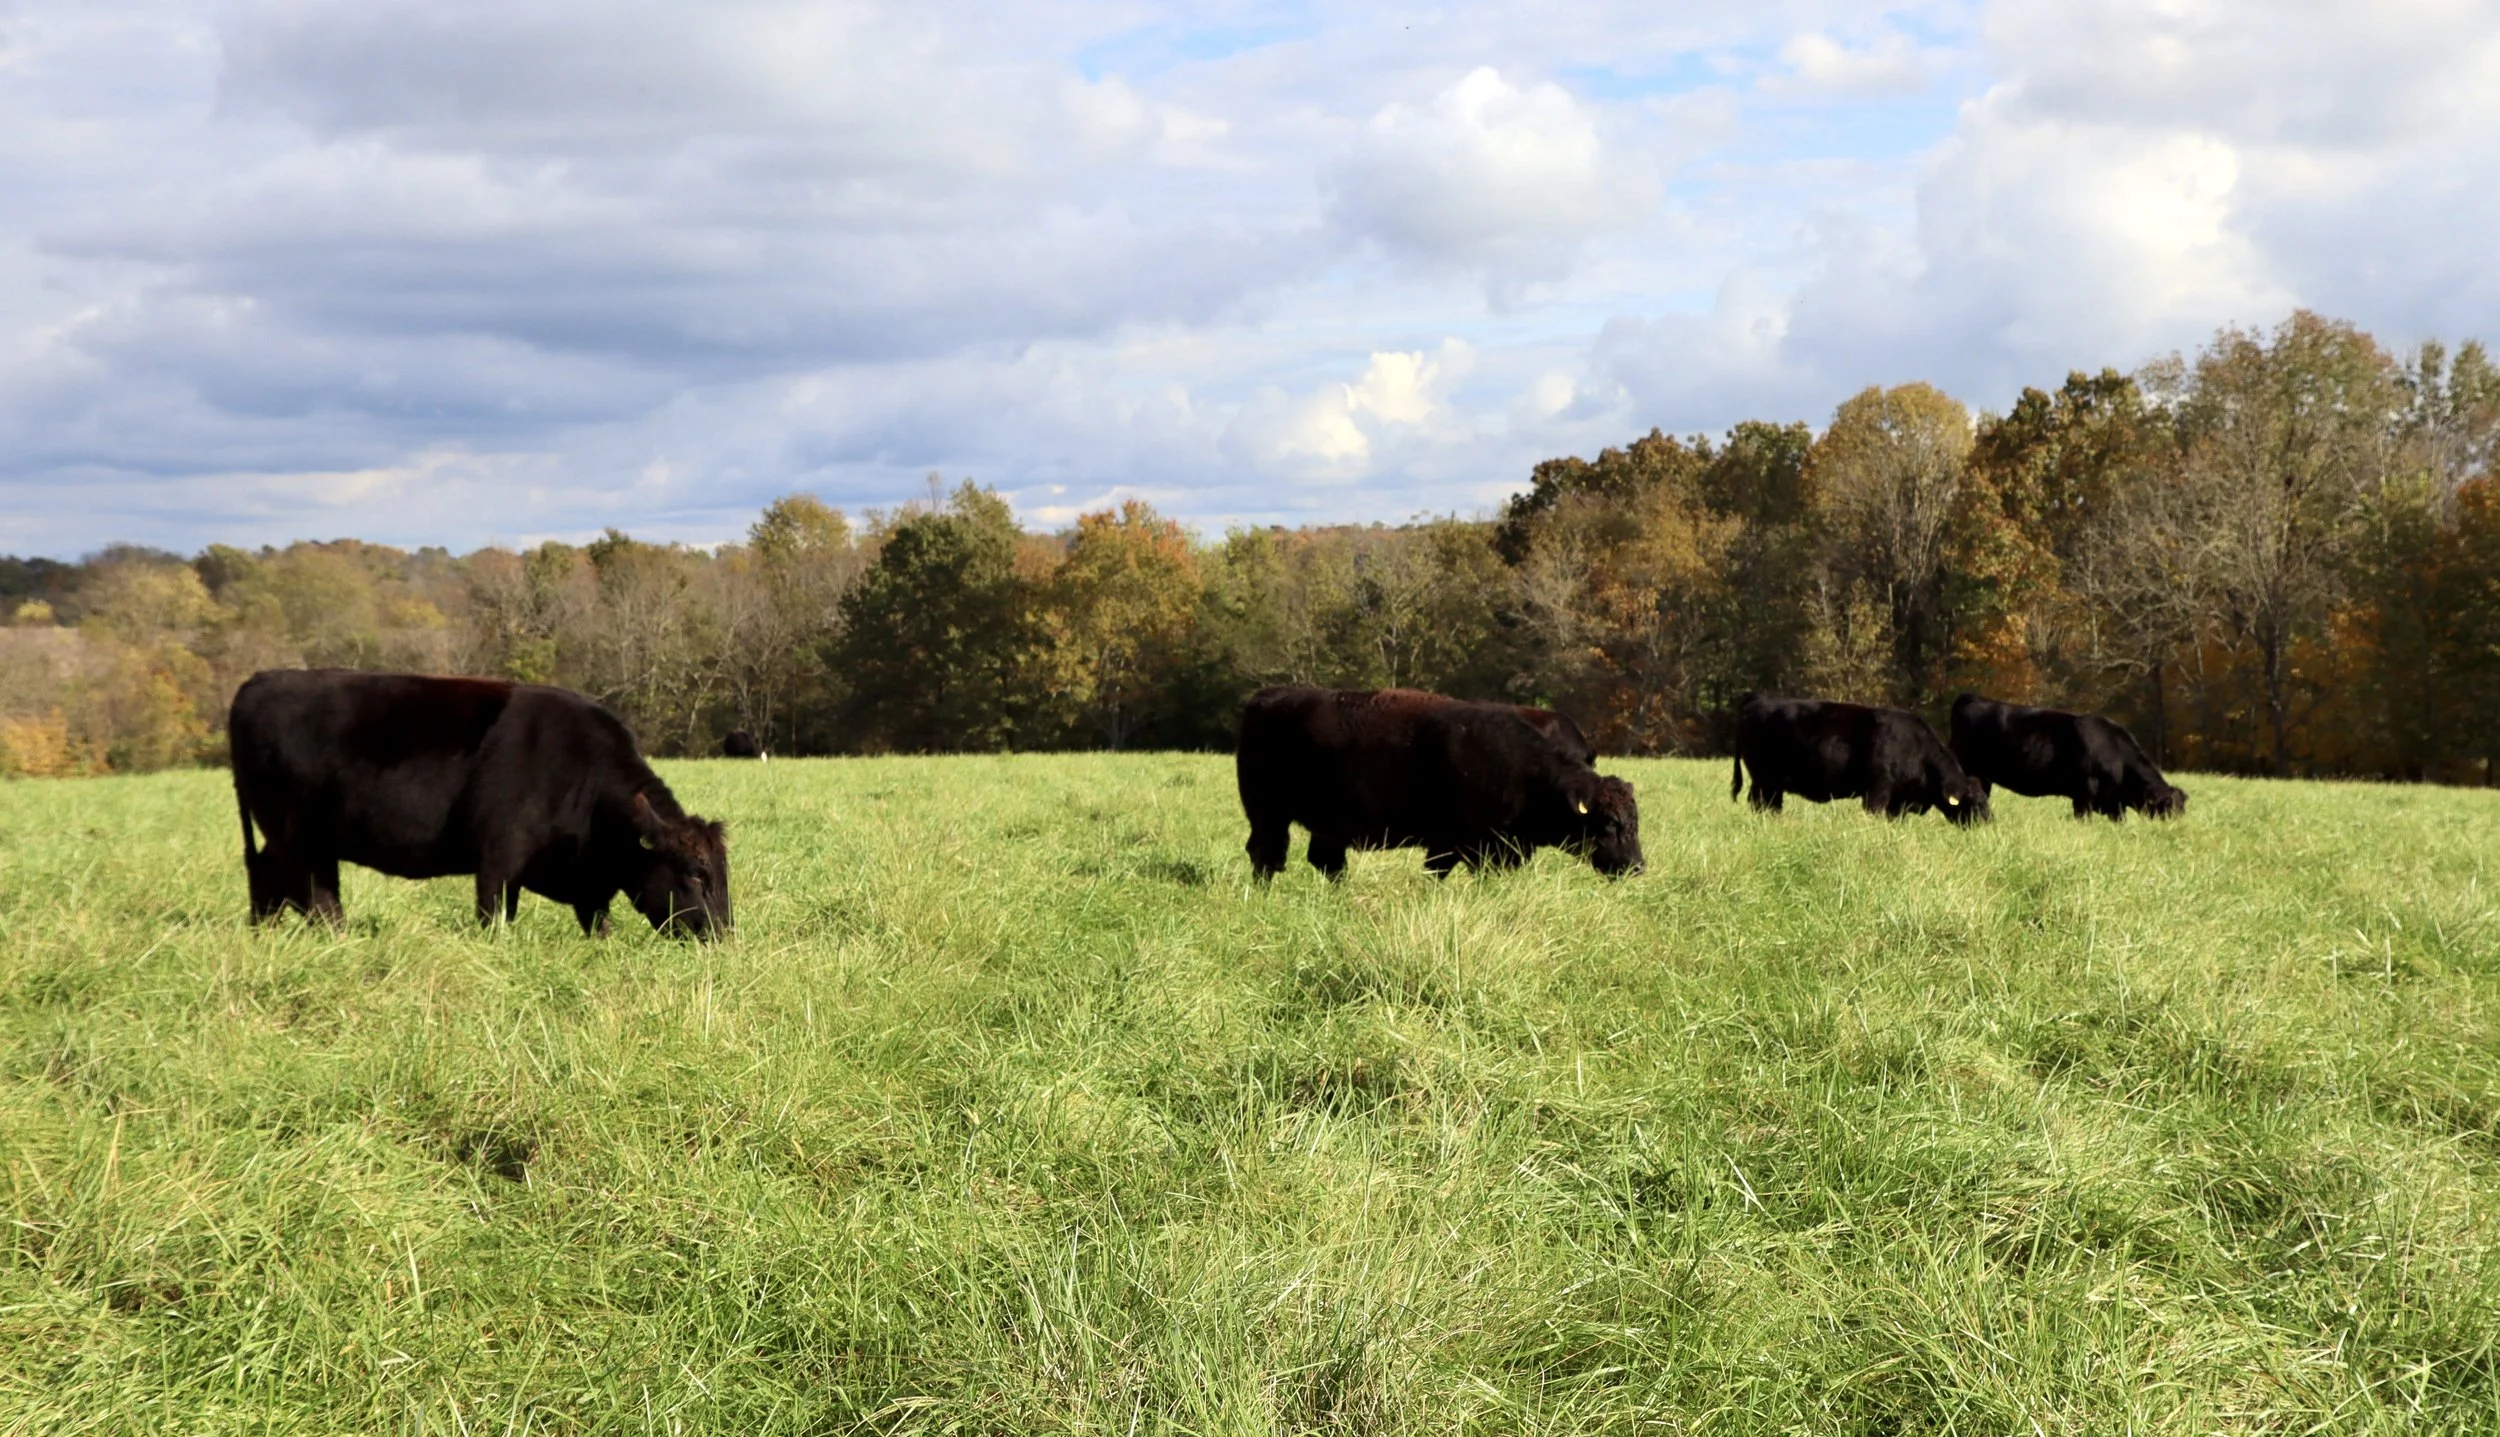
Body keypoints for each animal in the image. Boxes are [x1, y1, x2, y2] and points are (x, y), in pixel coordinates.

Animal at [229, 669, 731, 937]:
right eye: (696, 874)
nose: (723, 936)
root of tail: (261, 679)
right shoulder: (497, 862)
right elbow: (495, 919)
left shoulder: (589, 887)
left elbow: (600, 926)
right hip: (295, 834)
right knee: (310, 894)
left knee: (276, 882)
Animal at [1236, 685, 1642, 880]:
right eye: (1609, 823)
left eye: (1635, 822)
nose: (1636, 865)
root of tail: (1265, 698)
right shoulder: (1460, 844)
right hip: (1268, 815)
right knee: (1266, 856)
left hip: (1326, 827)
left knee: (1326, 863)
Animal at [1730, 693, 1989, 825]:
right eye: (1977, 803)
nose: (1989, 824)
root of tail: (1756, 701)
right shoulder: (1878, 789)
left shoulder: (1899, 801)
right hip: (1766, 779)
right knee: (1762, 804)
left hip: (1767, 782)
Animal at [1949, 693, 2187, 821]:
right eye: (2169, 809)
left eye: (2182, 809)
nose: (2176, 829)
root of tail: (1970, 697)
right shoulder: (2084, 794)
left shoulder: (2114, 804)